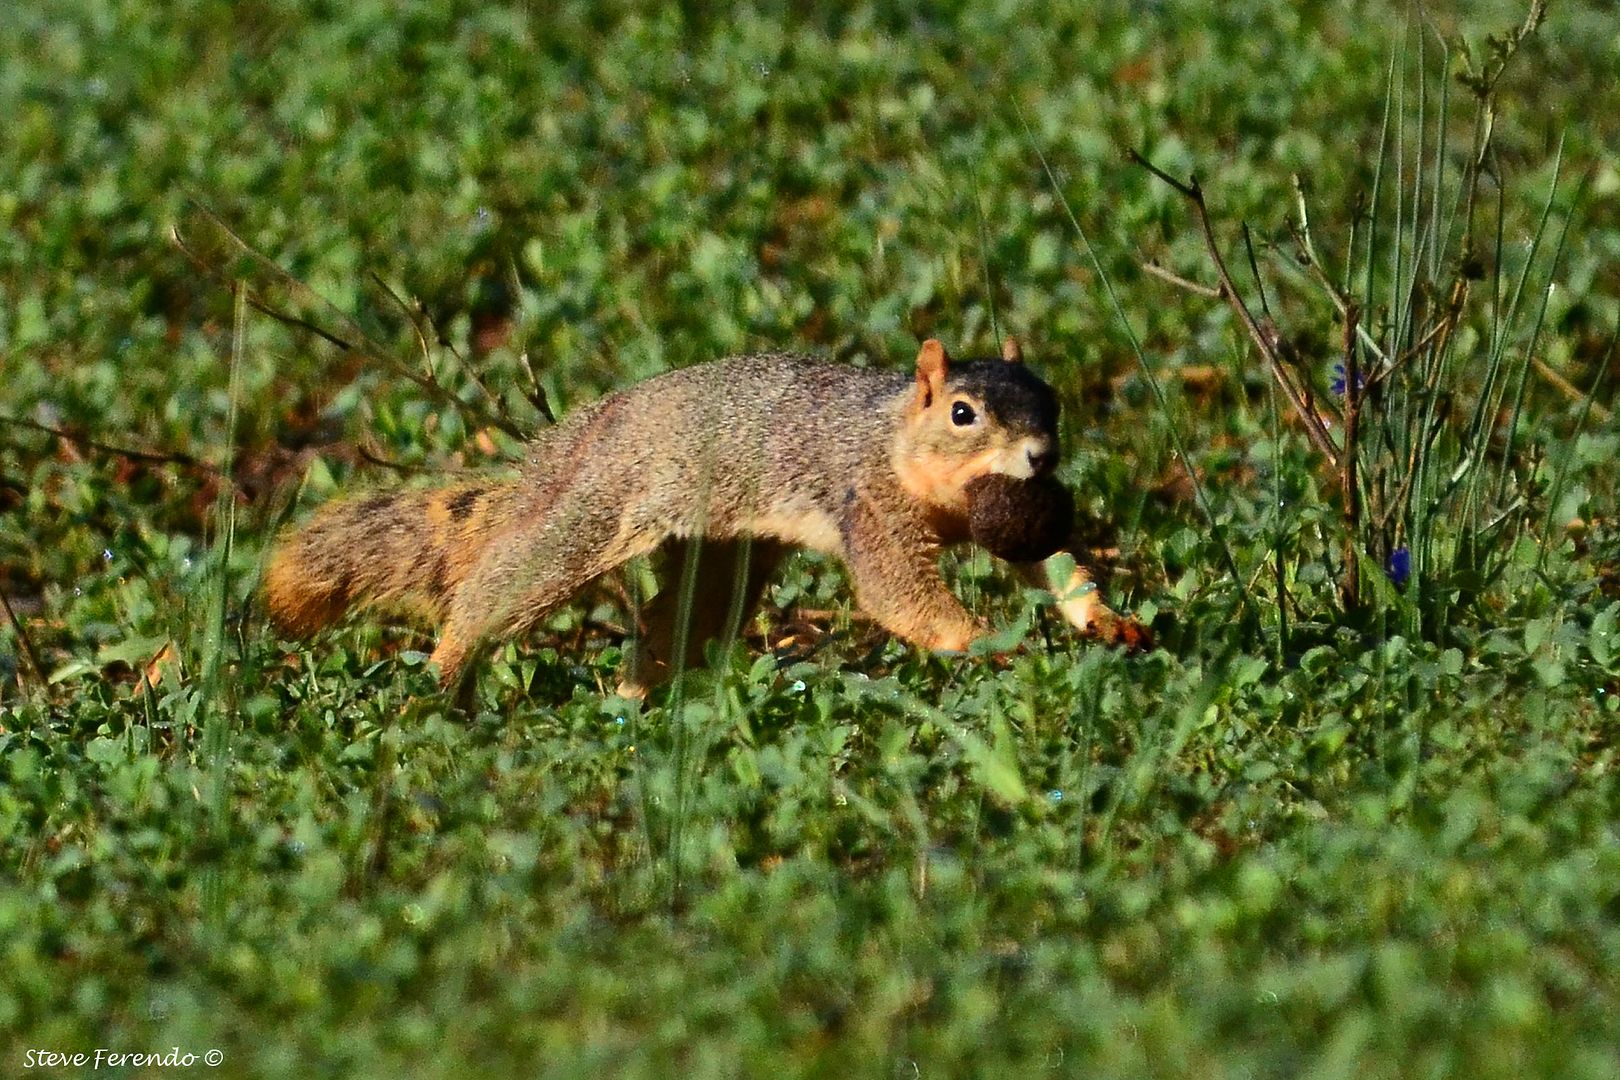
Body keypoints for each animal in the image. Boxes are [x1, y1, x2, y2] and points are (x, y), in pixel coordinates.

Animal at [263, 338, 1148, 696]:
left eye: (1051, 401)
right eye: (963, 413)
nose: (1039, 456)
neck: (897, 440)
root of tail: (575, 440)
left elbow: (1048, 558)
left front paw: (1105, 619)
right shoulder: (868, 504)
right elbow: (899, 592)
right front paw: (984, 639)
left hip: (721, 554)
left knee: (675, 624)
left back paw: (635, 702)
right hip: (592, 516)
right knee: (499, 586)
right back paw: (445, 672)